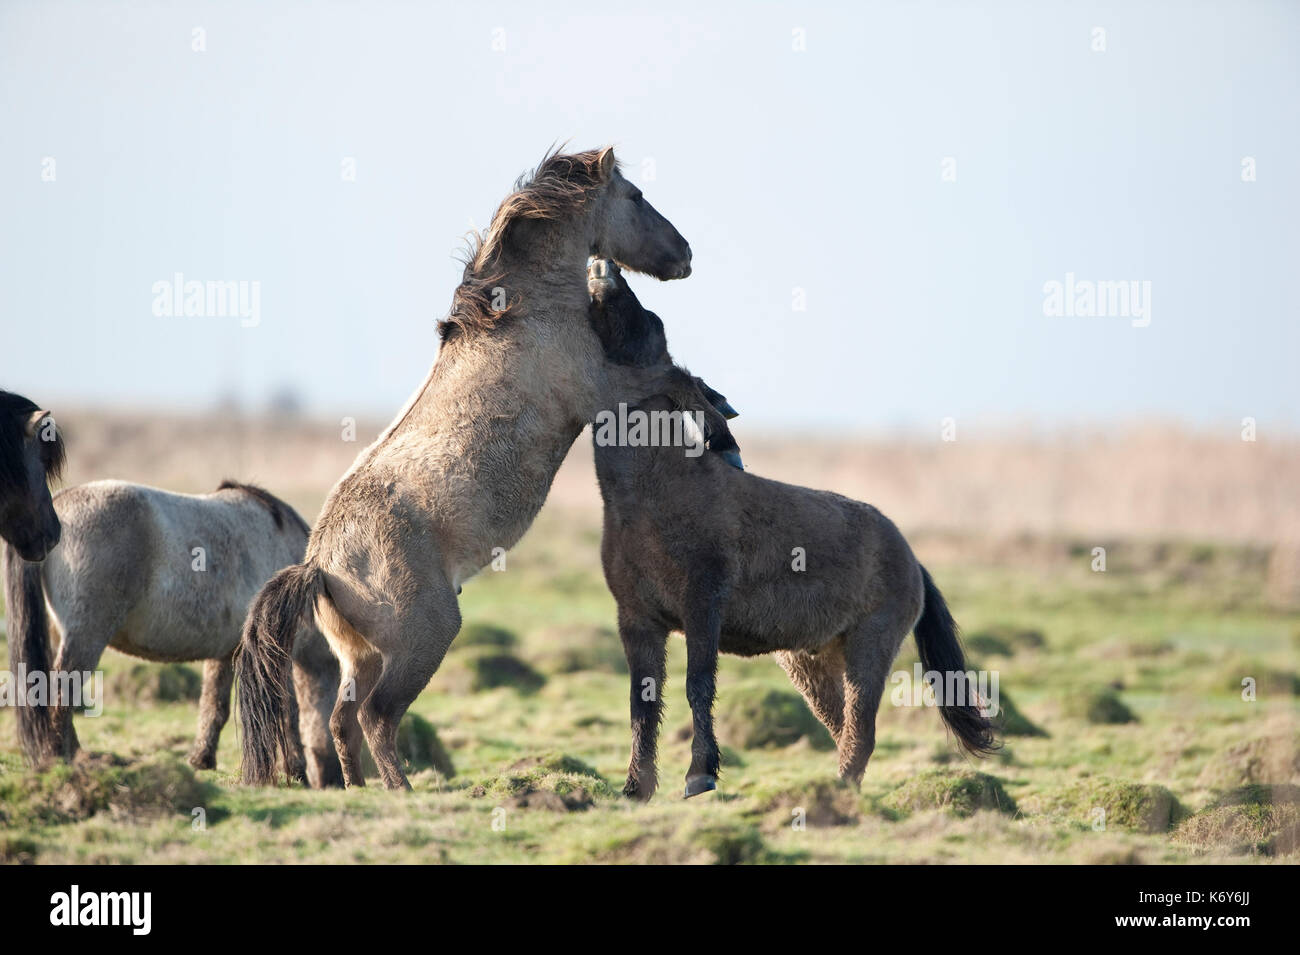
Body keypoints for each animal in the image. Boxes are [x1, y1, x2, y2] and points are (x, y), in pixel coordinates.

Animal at [4, 478, 343, 786]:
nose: (338, 782)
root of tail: (61, 503)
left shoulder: (225, 652)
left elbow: (214, 708)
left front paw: (201, 760)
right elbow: (287, 712)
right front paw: (296, 772)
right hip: (85, 639)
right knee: (61, 696)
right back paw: (66, 761)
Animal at [236, 146, 736, 791]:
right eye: (636, 196)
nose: (686, 254)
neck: (521, 310)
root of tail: (319, 565)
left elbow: (683, 379)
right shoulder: (604, 391)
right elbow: (678, 380)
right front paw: (725, 433)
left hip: (362, 655)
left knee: (344, 722)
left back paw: (363, 792)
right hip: (425, 638)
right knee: (375, 717)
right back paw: (404, 794)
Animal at [585, 260, 999, 800]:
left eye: (652, 322)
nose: (603, 268)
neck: (654, 496)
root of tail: (913, 561)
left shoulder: (702, 609)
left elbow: (698, 684)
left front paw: (700, 774)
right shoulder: (637, 621)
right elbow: (642, 703)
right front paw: (636, 789)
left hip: (869, 647)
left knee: (860, 732)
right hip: (811, 662)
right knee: (844, 728)